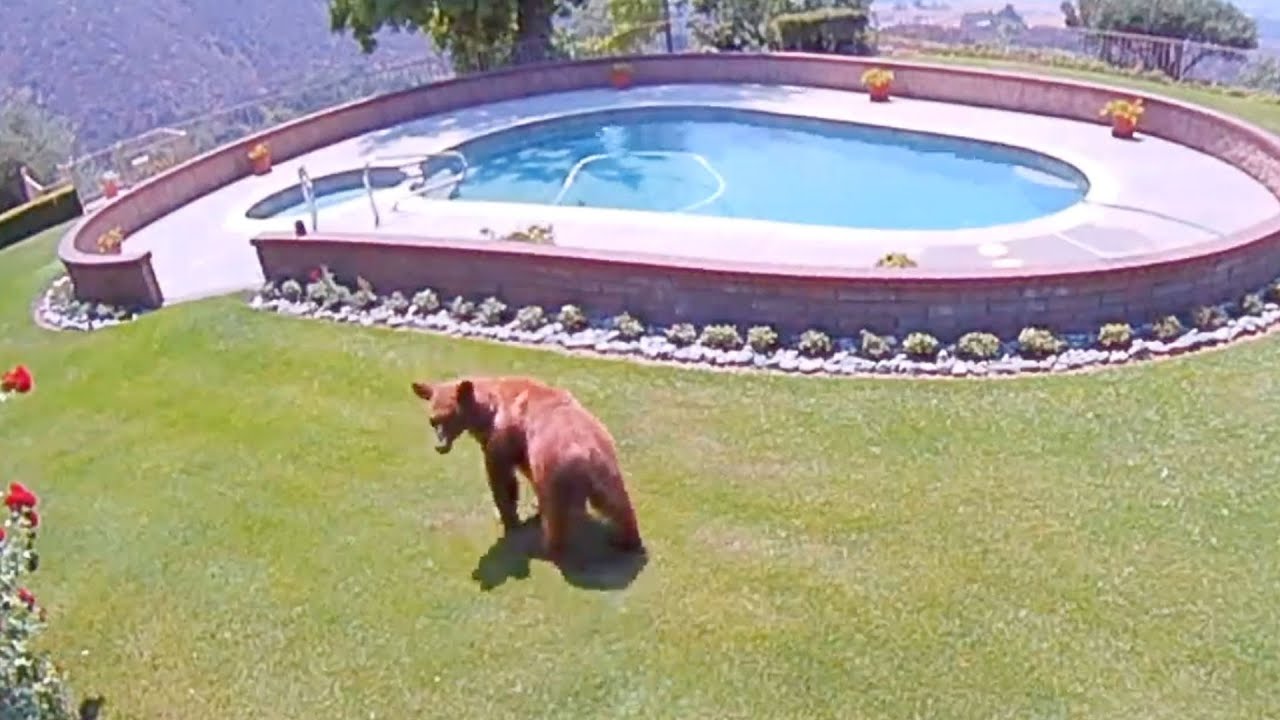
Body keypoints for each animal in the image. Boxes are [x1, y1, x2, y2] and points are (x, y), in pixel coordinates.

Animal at [410, 375, 644, 561]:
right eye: (433, 421)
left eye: (450, 417)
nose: (440, 446)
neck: (488, 411)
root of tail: (586, 452)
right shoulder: (522, 447)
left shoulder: (505, 436)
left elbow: (501, 477)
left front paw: (509, 519)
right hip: (606, 468)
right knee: (618, 501)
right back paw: (626, 538)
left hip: (553, 468)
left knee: (556, 511)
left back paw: (550, 546)